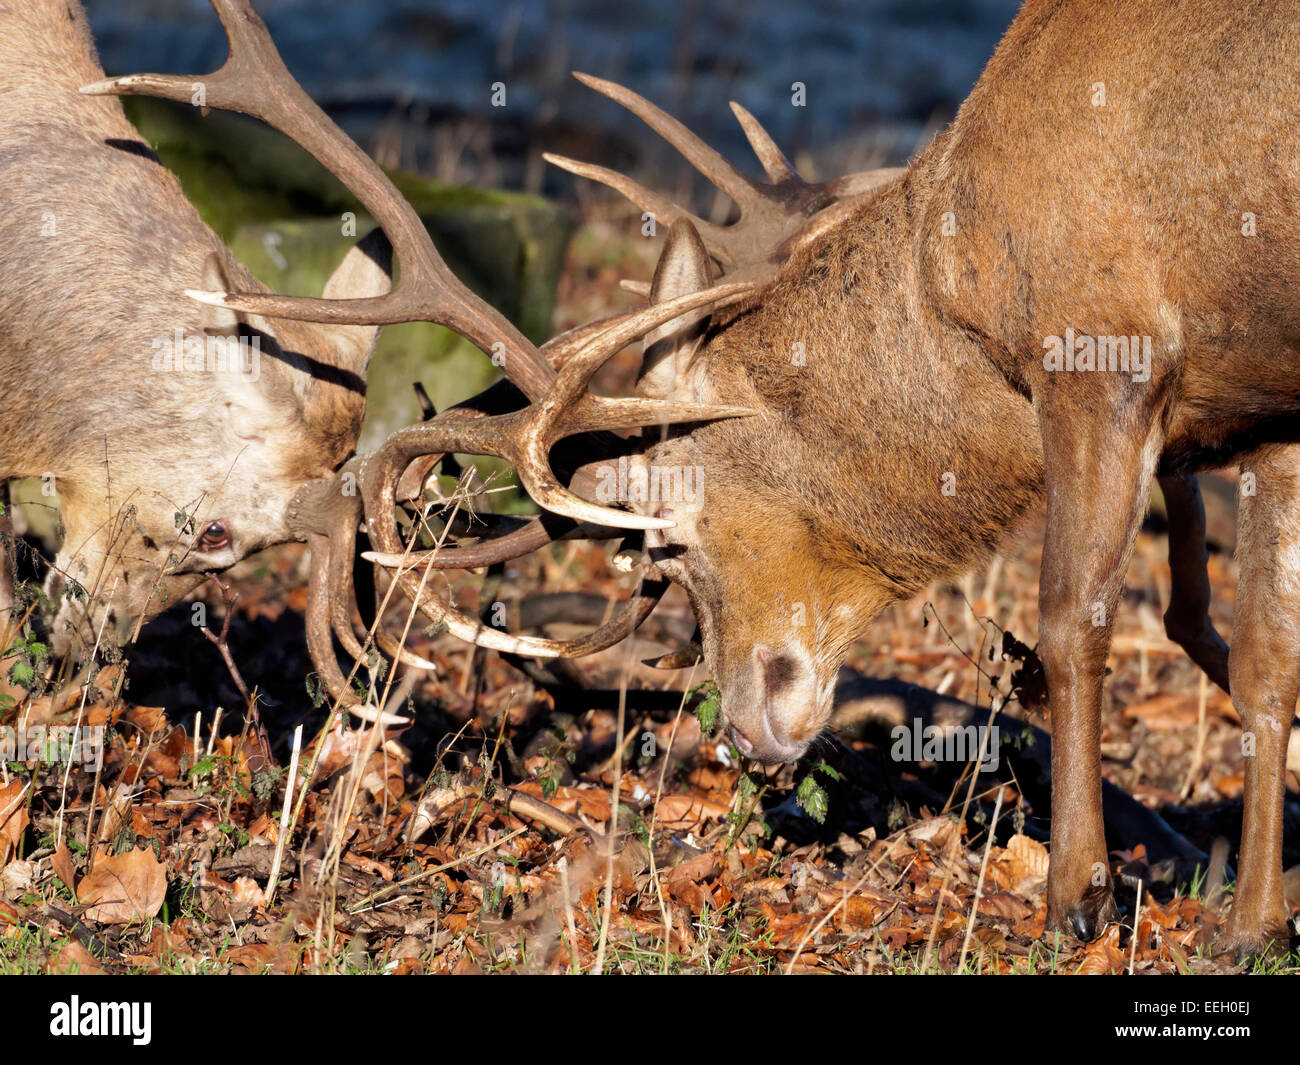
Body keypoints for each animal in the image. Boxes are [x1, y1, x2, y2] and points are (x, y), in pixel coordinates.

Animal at [17, 0, 1295, 960]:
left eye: (664, 537)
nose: (747, 732)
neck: (965, 296)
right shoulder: (1267, 410)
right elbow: (1264, 659)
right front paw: (1253, 921)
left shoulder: (1105, 343)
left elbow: (1076, 618)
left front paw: (1076, 897)